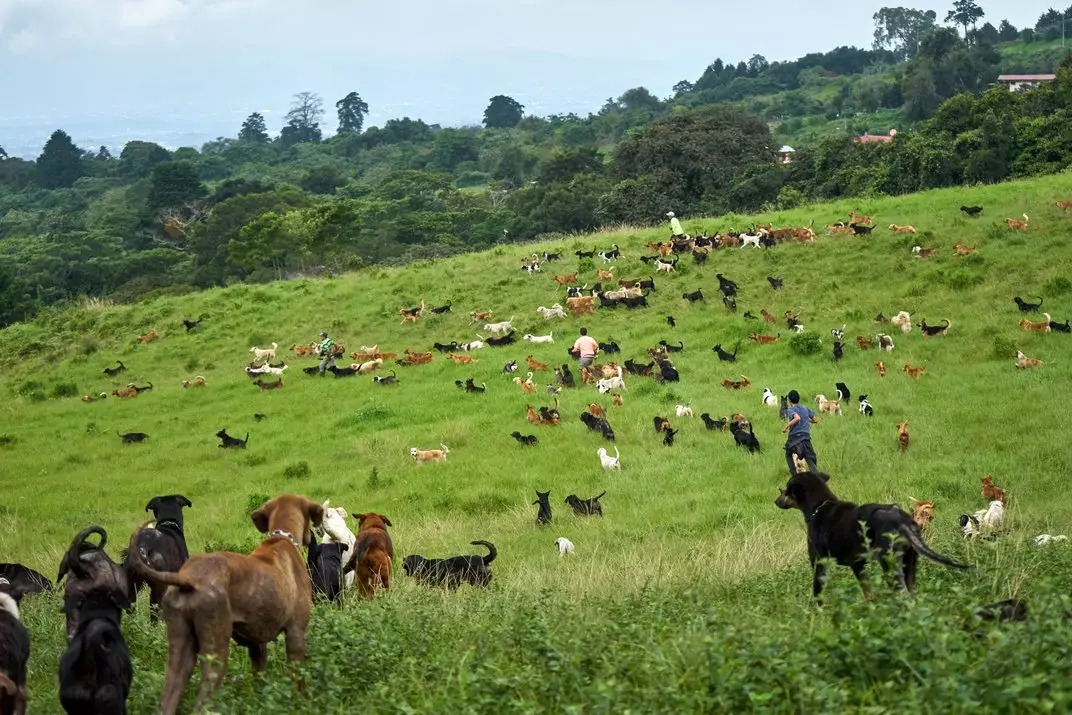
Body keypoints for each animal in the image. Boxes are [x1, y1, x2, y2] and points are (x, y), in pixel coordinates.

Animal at [128, 495, 321, 715]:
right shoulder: (296, 634)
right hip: (216, 653)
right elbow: (299, 681)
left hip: (178, 655)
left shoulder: (257, 645)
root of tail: (187, 578)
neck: (282, 538)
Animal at [776, 471, 969, 600]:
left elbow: (818, 595)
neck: (821, 506)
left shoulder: (819, 563)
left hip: (891, 566)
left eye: (787, 490)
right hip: (910, 563)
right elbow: (868, 593)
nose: (775, 501)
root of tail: (902, 521)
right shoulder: (858, 565)